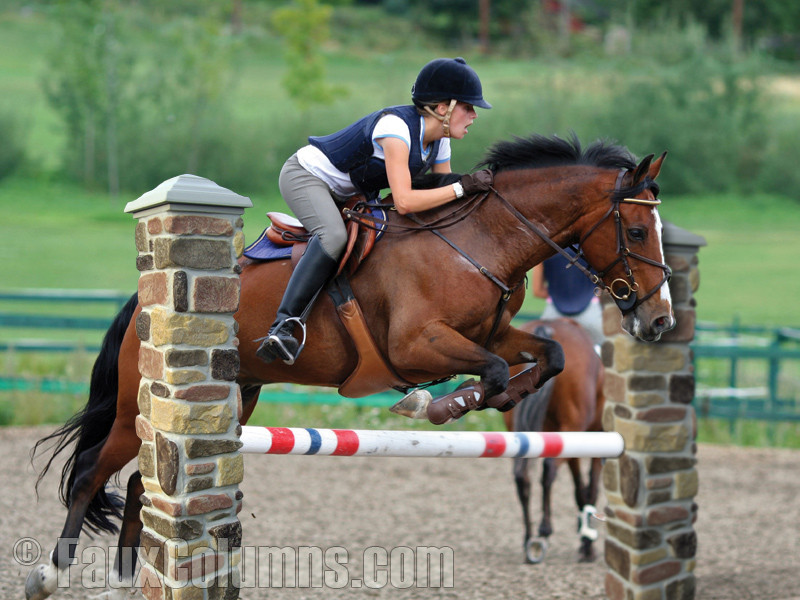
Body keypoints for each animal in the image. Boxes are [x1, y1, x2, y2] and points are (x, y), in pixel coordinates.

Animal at [502, 317, 605, 564]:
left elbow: (580, 490)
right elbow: (590, 490)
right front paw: (587, 544)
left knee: (522, 476)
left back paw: (529, 539)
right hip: (571, 429)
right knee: (548, 470)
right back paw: (543, 532)